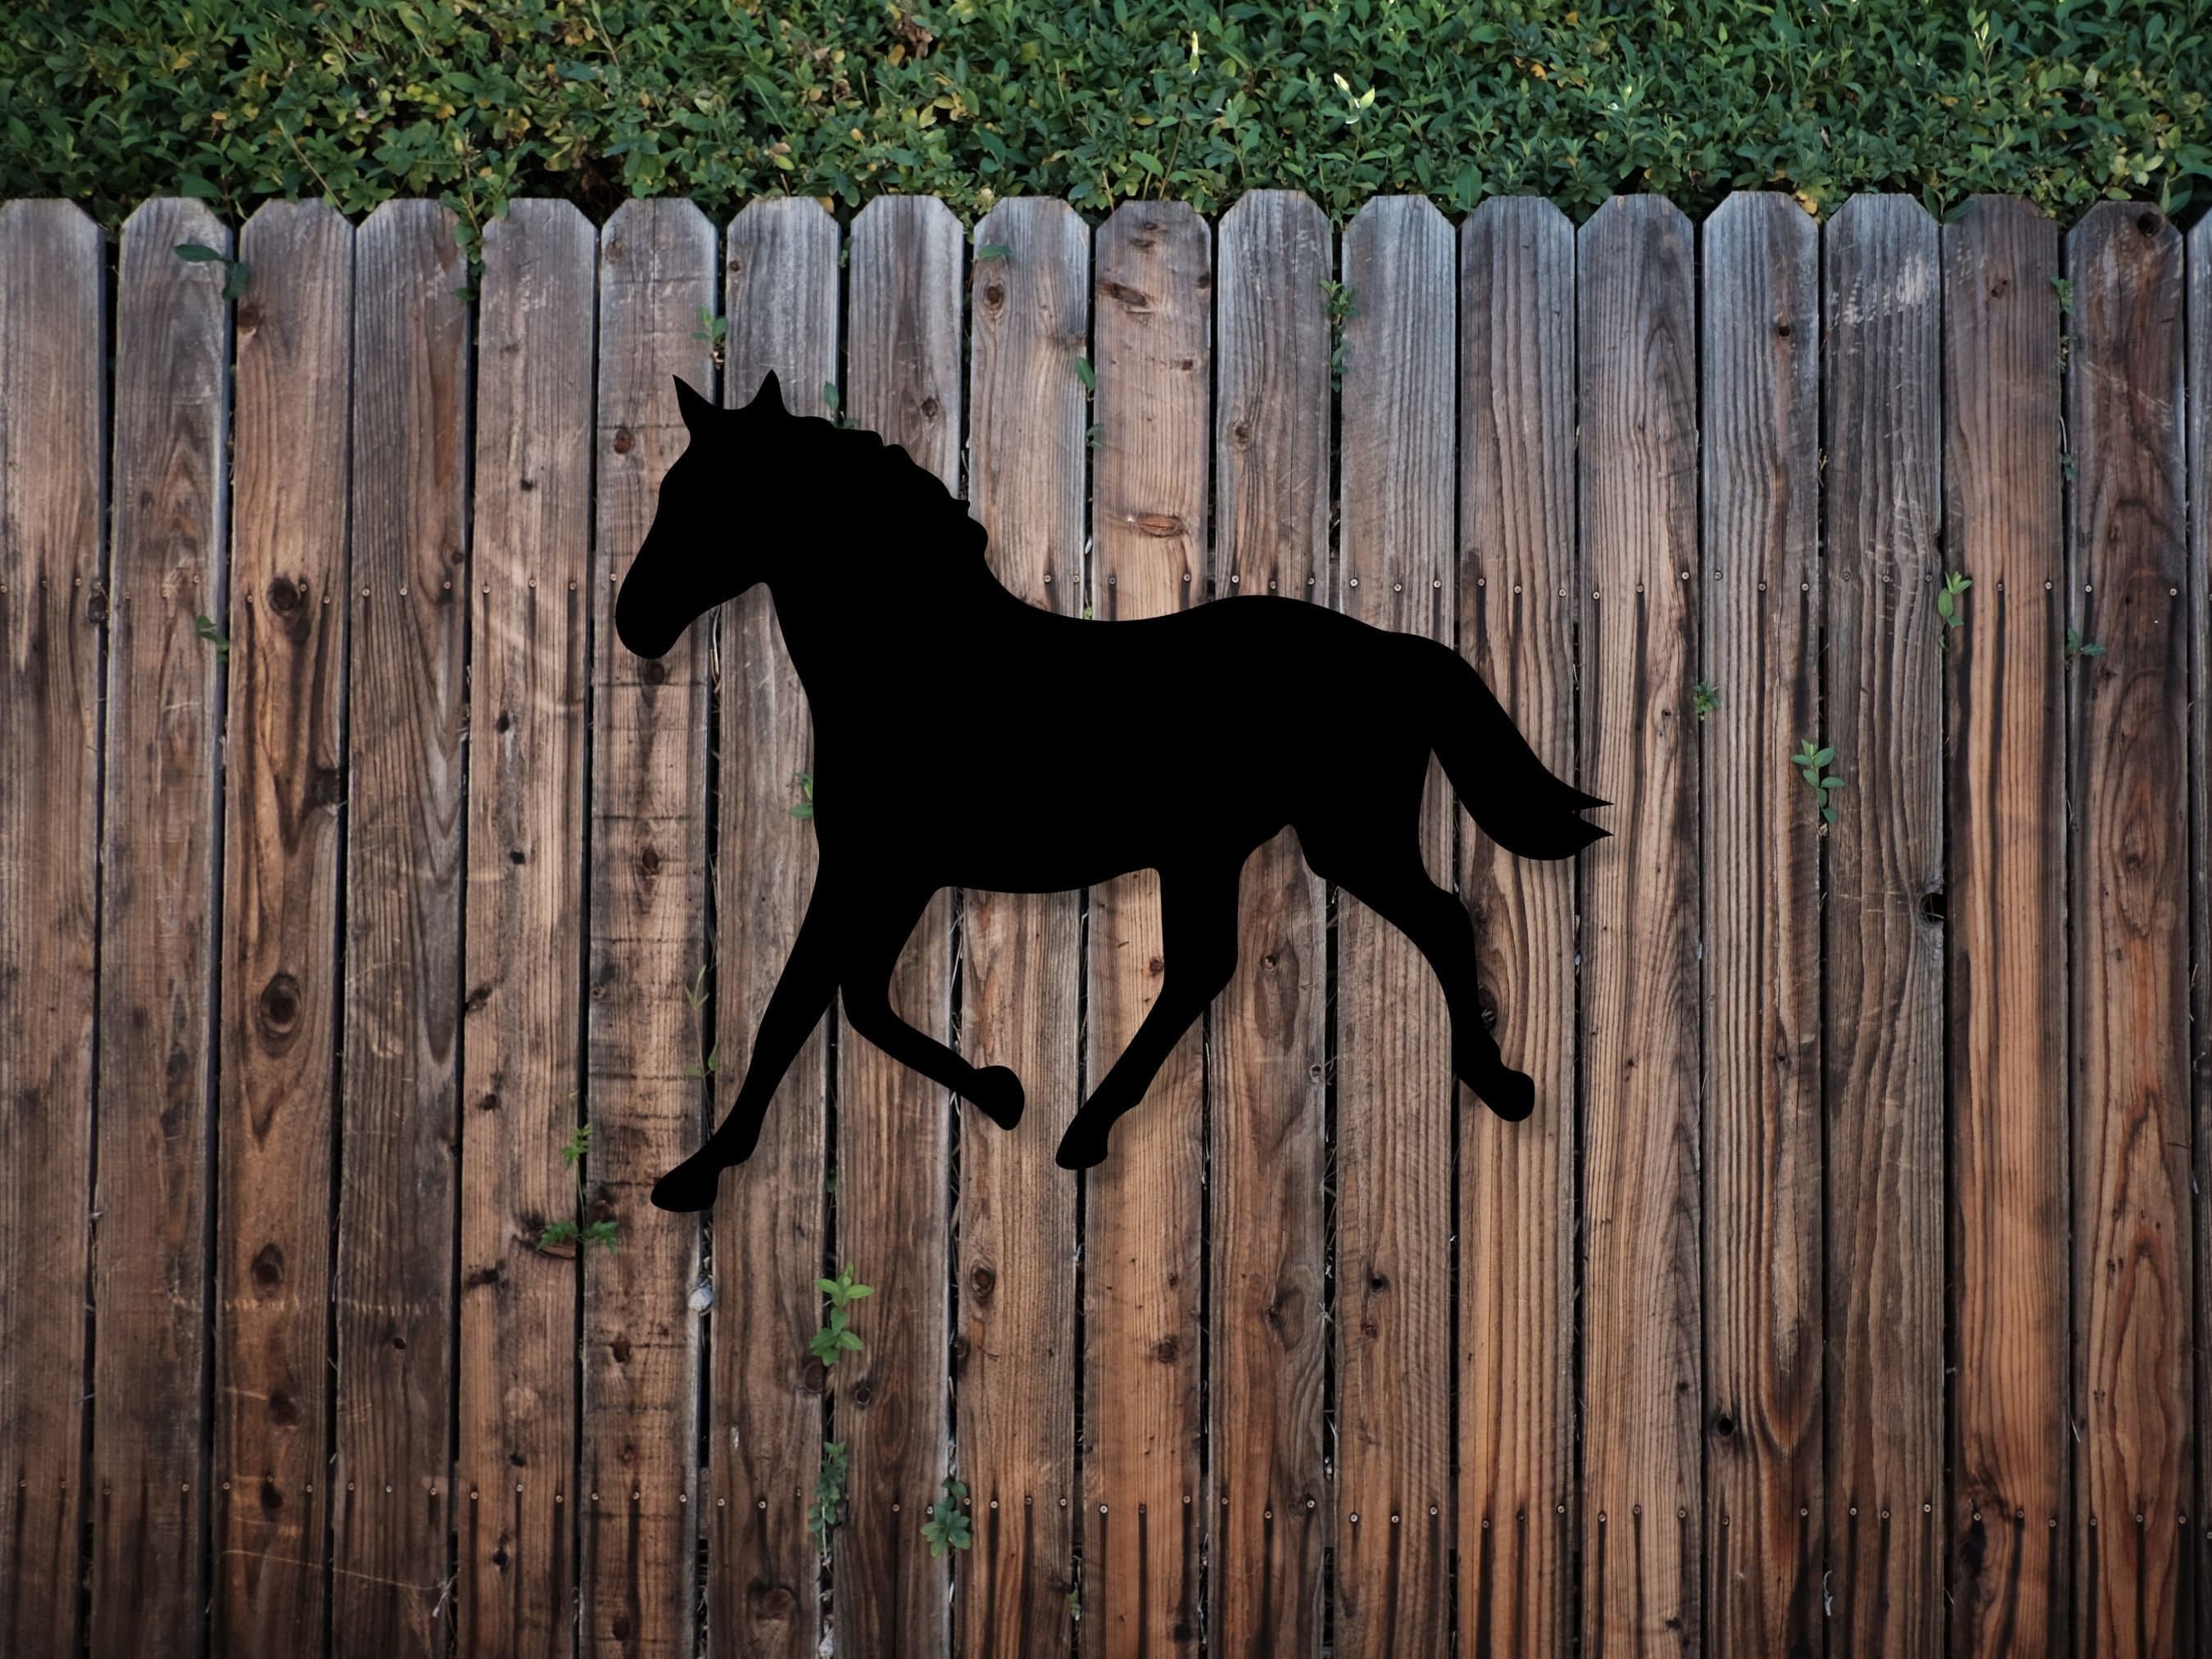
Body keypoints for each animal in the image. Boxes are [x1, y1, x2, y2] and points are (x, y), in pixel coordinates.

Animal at [616, 371, 1606, 1213]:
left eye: (708, 501)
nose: (634, 622)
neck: (921, 664)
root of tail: (1392, 649)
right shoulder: (895, 874)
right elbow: (849, 1001)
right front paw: (1002, 1094)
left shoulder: (876, 867)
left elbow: (796, 1008)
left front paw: (694, 1177)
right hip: (1213, 850)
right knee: (1207, 969)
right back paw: (1084, 1130)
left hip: (1345, 838)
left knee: (1440, 919)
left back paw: (1502, 1089)